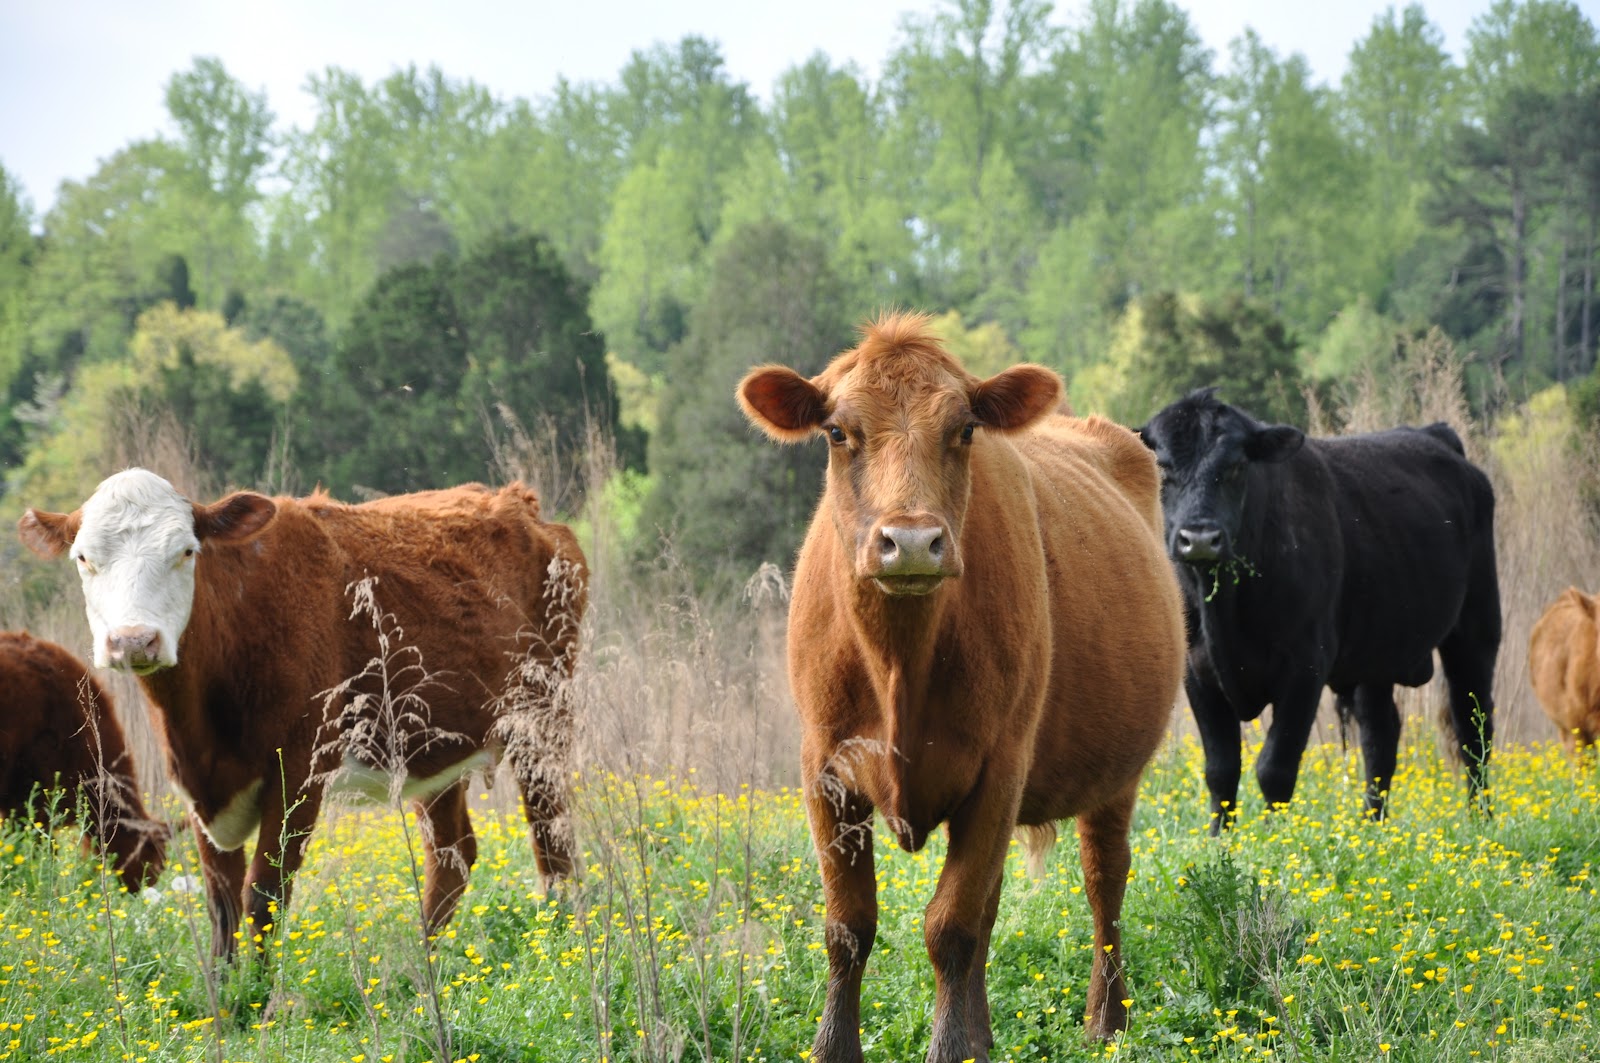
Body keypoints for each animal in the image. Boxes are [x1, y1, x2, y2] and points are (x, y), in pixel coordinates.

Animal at [18, 470, 586, 958]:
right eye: (84, 558)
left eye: (185, 551)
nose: (134, 640)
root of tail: (521, 505)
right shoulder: (196, 790)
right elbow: (221, 903)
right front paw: (226, 1005)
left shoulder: (300, 770)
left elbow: (264, 895)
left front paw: (258, 1005)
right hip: (434, 747)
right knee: (452, 858)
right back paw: (422, 964)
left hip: (543, 720)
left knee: (551, 842)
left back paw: (562, 946)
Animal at [737, 312, 1185, 1060]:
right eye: (837, 431)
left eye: (966, 429)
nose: (913, 542)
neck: (900, 663)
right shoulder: (824, 768)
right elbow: (849, 925)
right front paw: (839, 1045)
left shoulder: (1000, 765)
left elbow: (950, 926)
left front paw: (949, 1048)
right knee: (994, 902)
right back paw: (986, 1033)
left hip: (1117, 774)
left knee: (1104, 879)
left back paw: (1106, 1021)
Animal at [1137, 389, 1501, 831]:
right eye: (1163, 466)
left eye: (1237, 466)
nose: (1200, 537)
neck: (1225, 612)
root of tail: (1434, 434)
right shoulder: (1197, 670)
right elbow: (1220, 769)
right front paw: (1221, 838)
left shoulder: (1304, 666)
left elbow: (1275, 767)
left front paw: (1274, 838)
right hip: (1375, 653)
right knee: (1381, 734)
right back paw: (1371, 826)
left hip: (1476, 629)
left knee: (1473, 729)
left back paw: (1481, 821)